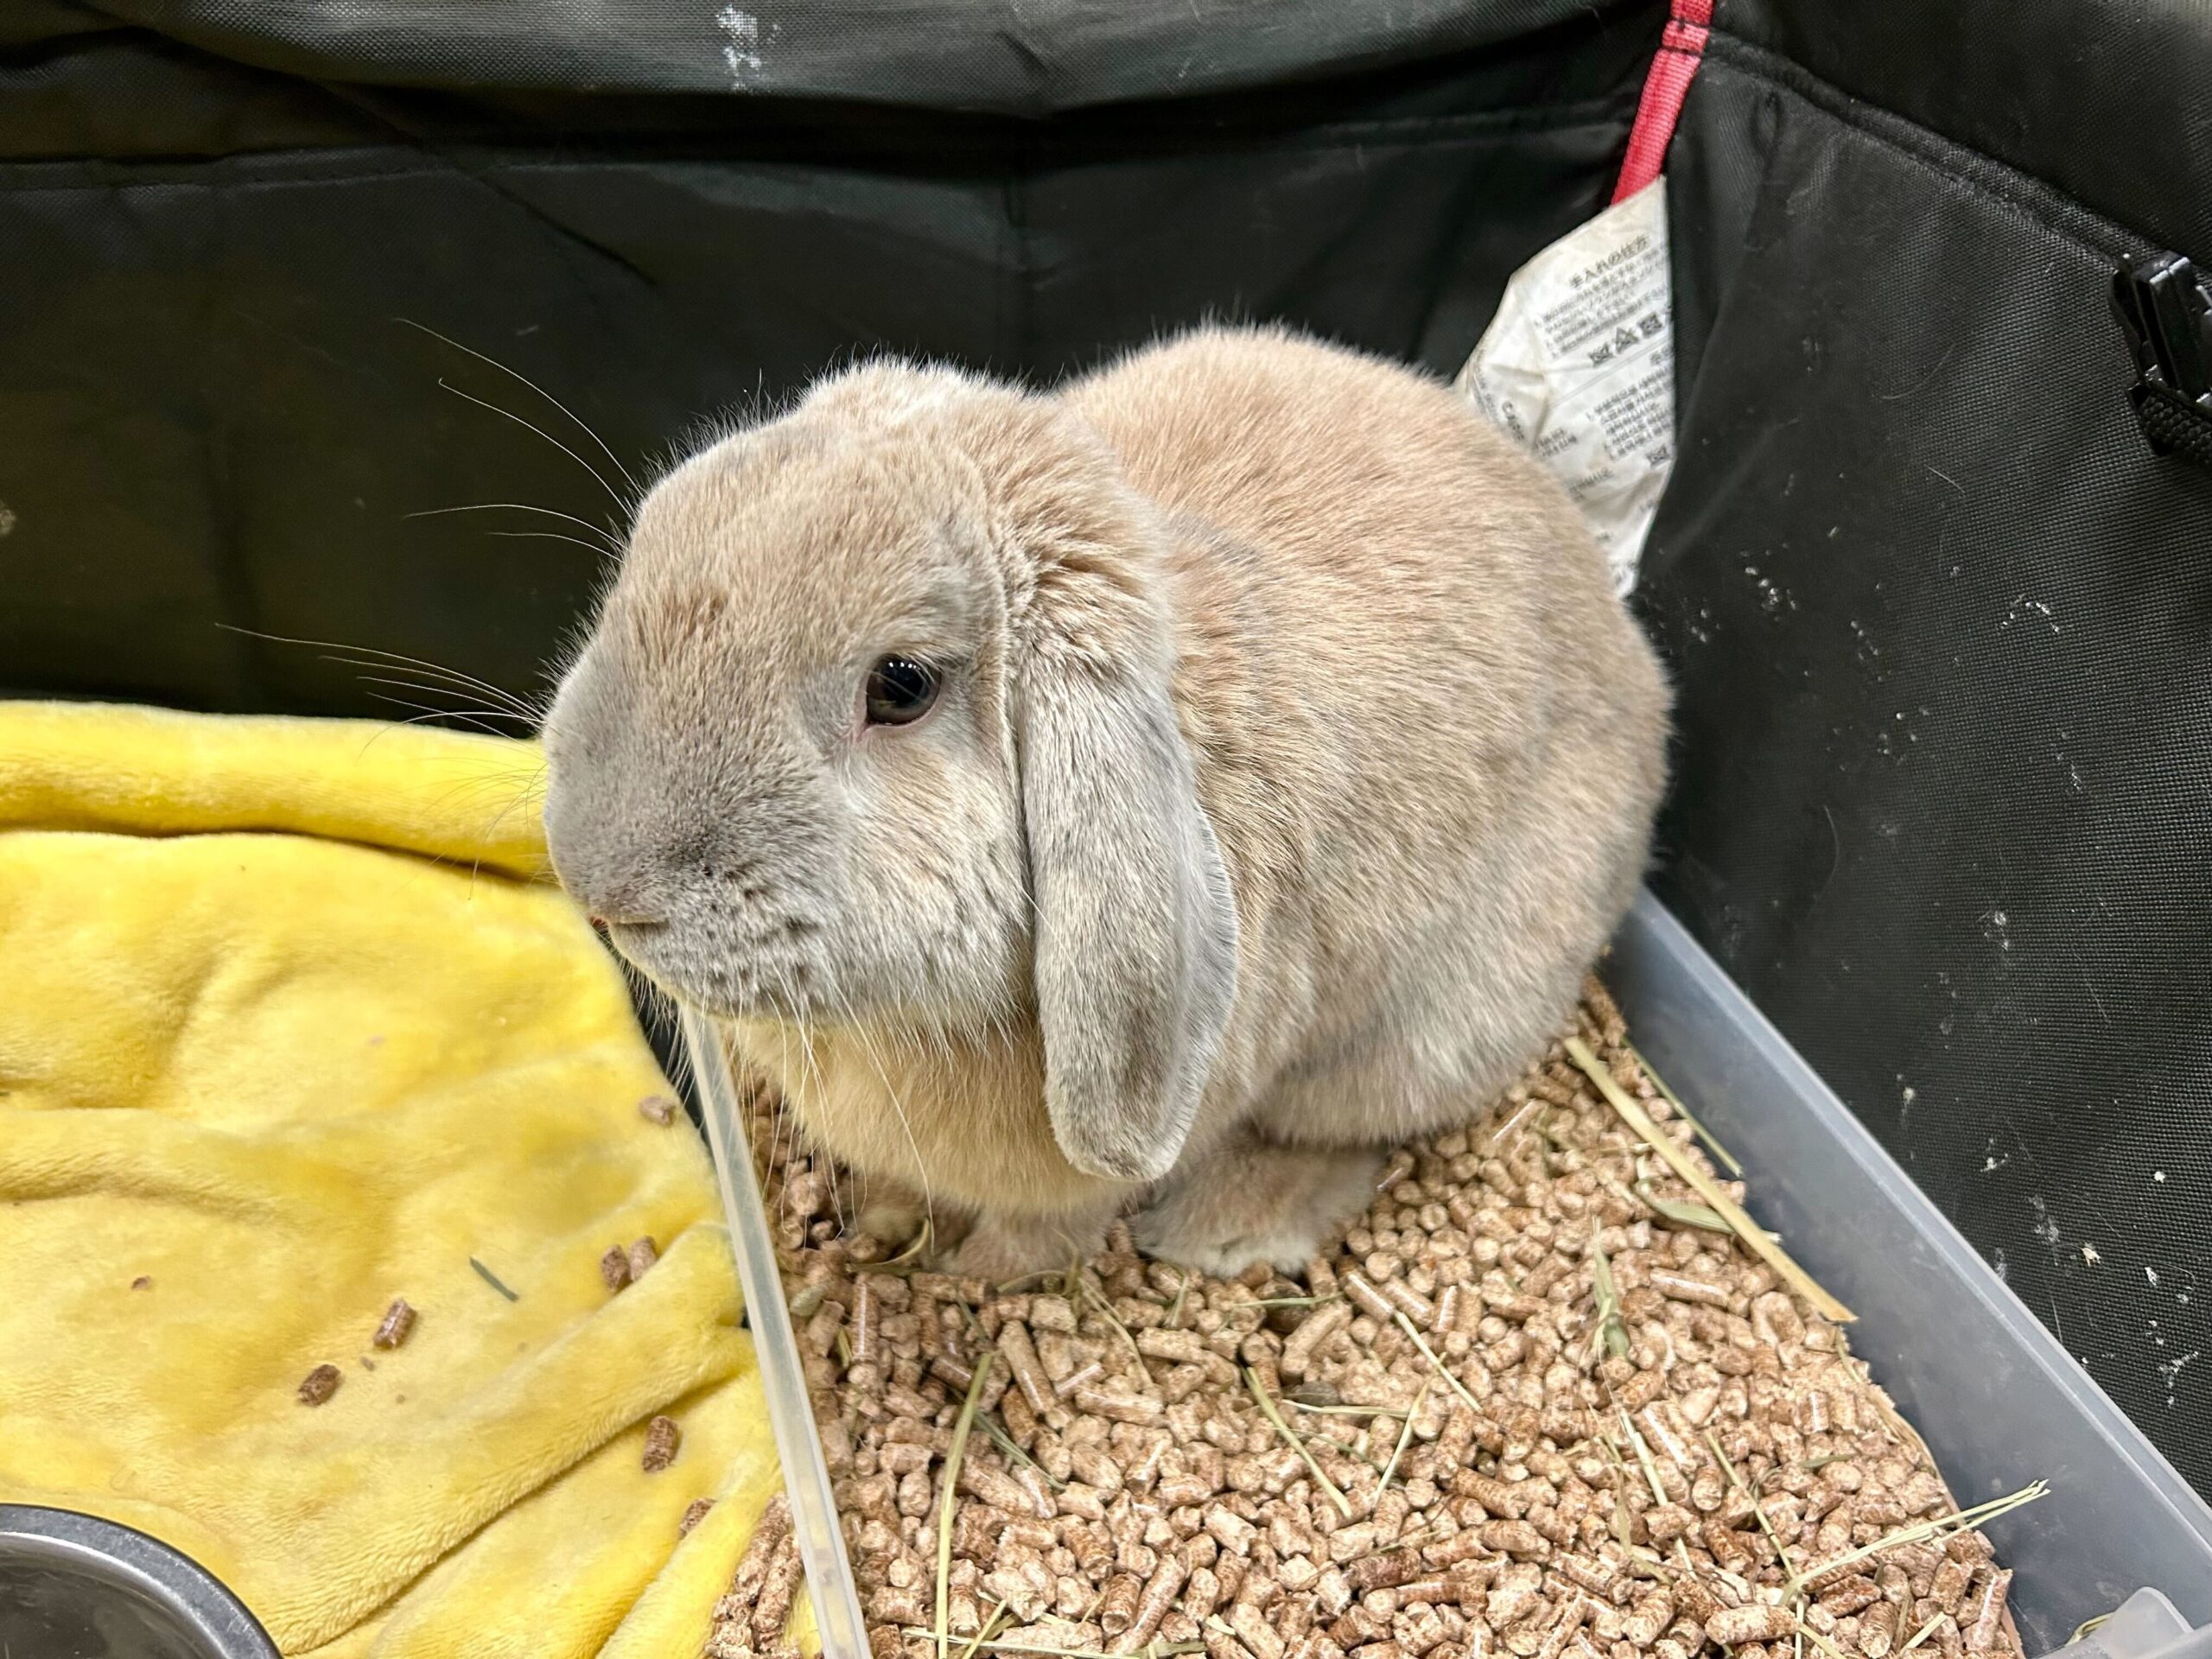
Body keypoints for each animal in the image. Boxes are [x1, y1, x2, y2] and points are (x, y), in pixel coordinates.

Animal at [539, 323, 1670, 1279]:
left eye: (900, 685)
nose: (596, 887)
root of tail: (1643, 674)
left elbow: (1049, 1230)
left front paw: (979, 1277)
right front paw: (889, 1222)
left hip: (1423, 1043)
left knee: (1349, 1138)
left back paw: (1224, 1230)